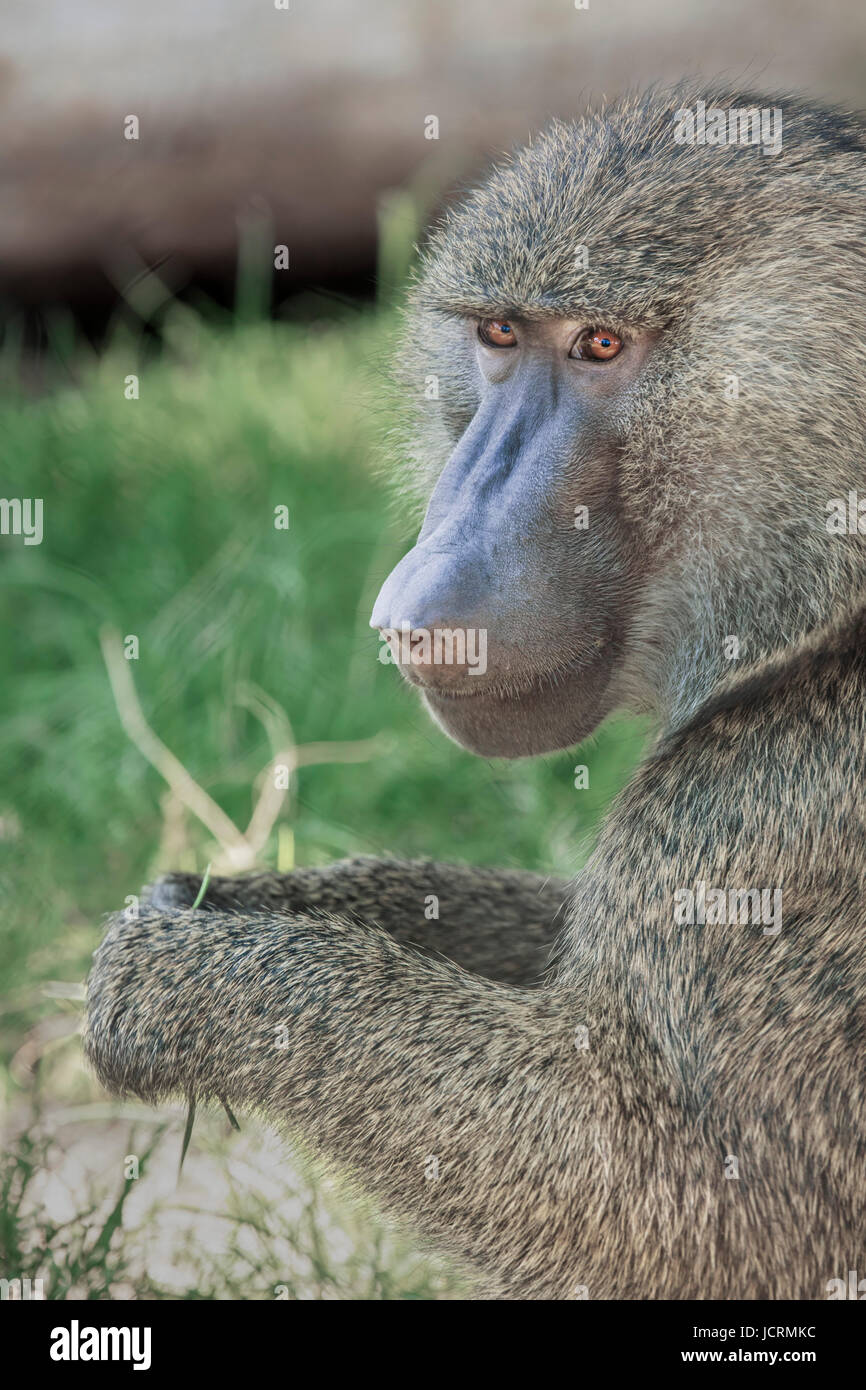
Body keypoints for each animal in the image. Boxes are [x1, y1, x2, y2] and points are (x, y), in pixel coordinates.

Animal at [85, 82, 866, 1300]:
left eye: (601, 344)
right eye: (499, 336)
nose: (418, 595)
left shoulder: (771, 806)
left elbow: (691, 1216)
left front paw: (192, 981)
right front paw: (235, 899)